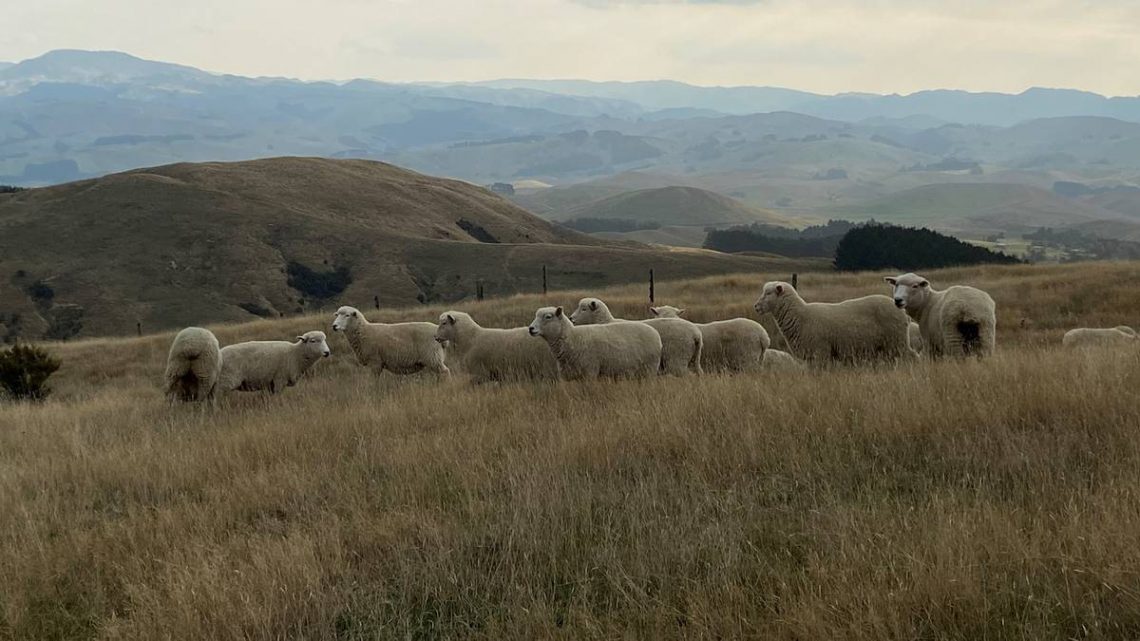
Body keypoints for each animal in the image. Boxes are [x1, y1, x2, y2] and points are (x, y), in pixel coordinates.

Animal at [528, 305, 665, 378]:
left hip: (650, 368)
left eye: (548, 317)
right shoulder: (566, 376)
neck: (573, 338)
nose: (531, 328)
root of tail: (656, 333)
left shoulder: (590, 372)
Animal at [570, 298, 702, 374]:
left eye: (584, 309)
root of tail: (696, 334)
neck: (605, 321)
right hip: (693, 358)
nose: (571, 318)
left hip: (677, 357)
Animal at [752, 280, 912, 364]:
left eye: (768, 293)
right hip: (887, 346)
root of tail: (903, 312)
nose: (756, 306)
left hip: (896, 341)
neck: (801, 316)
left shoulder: (820, 352)